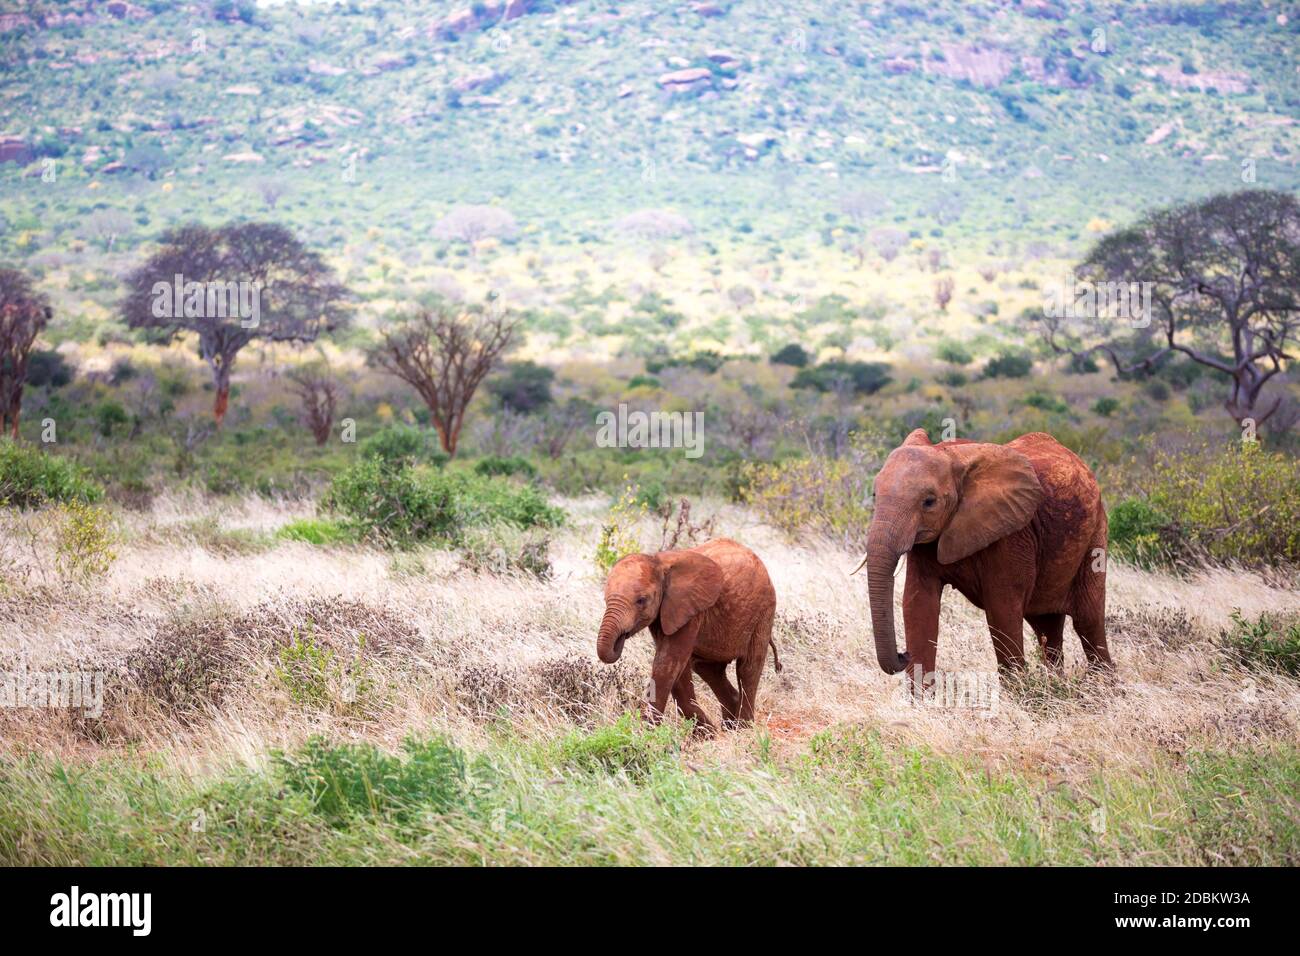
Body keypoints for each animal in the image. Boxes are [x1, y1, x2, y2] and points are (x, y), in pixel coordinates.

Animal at [596, 538, 779, 734]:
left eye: (641, 600)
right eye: (605, 600)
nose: (621, 637)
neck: (658, 561)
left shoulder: (688, 610)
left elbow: (667, 663)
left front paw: (645, 734)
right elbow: (677, 669)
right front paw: (708, 735)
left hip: (764, 611)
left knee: (748, 668)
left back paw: (743, 729)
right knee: (710, 671)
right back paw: (728, 727)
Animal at [858, 429, 1111, 683]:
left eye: (929, 502)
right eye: (875, 494)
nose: (903, 655)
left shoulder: (1010, 533)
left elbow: (1002, 612)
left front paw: (1018, 689)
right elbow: (918, 605)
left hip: (1096, 535)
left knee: (1087, 621)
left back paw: (1101, 684)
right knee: (1047, 626)